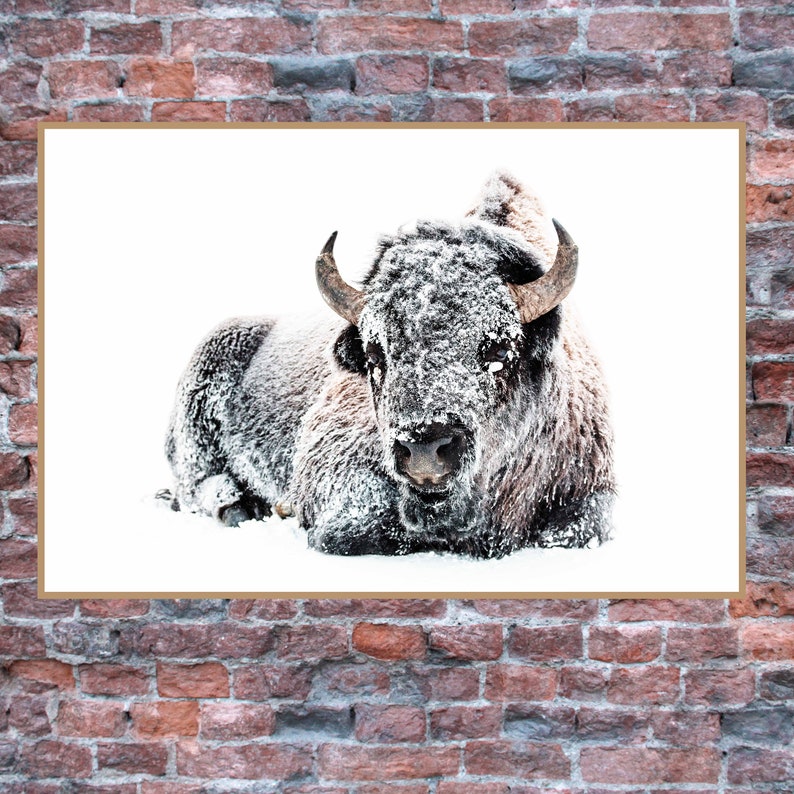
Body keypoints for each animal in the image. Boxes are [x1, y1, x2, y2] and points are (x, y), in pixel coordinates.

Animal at [164, 172, 616, 558]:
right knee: (197, 483)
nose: (425, 451)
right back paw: (241, 507)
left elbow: (581, 528)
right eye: (375, 353)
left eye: (499, 350)